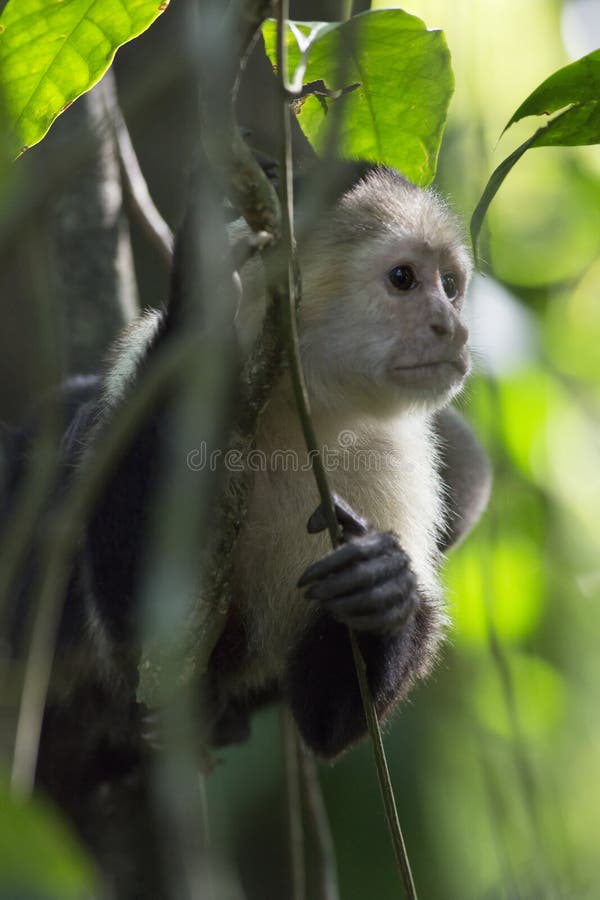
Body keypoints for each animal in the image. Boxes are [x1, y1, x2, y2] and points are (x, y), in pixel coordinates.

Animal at [0, 161, 490, 894]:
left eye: (451, 285)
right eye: (404, 279)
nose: (451, 327)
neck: (295, 398)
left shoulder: (395, 454)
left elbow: (326, 721)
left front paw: (382, 590)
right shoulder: (152, 372)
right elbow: (133, 623)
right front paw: (199, 303)